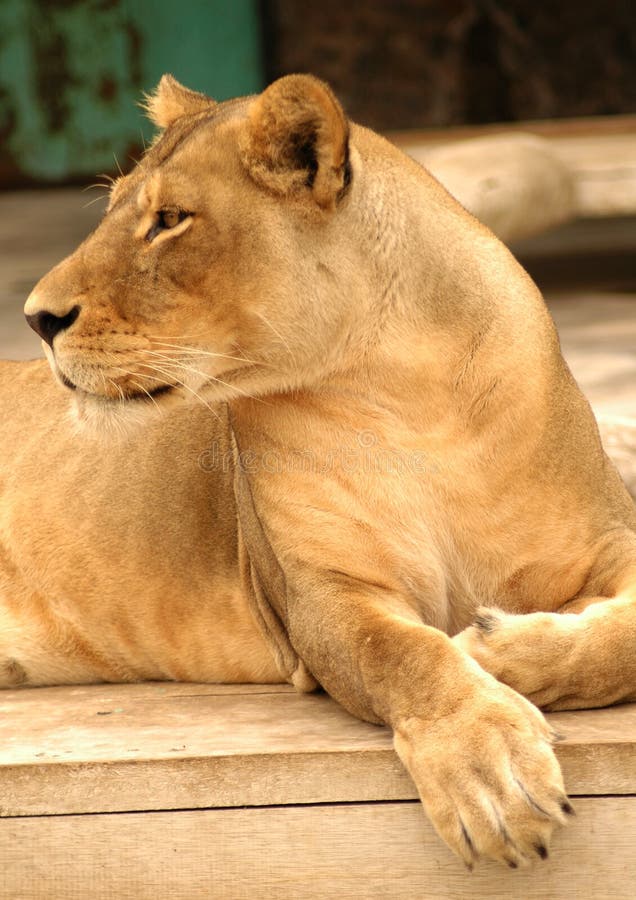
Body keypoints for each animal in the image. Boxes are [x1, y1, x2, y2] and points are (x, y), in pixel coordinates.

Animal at [3, 73, 636, 870]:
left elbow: (623, 638)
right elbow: (406, 653)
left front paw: (507, 650)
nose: (35, 318)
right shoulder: (320, 599)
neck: (403, 392)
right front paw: (491, 769)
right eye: (115, 209)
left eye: (170, 220)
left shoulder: (608, 536)